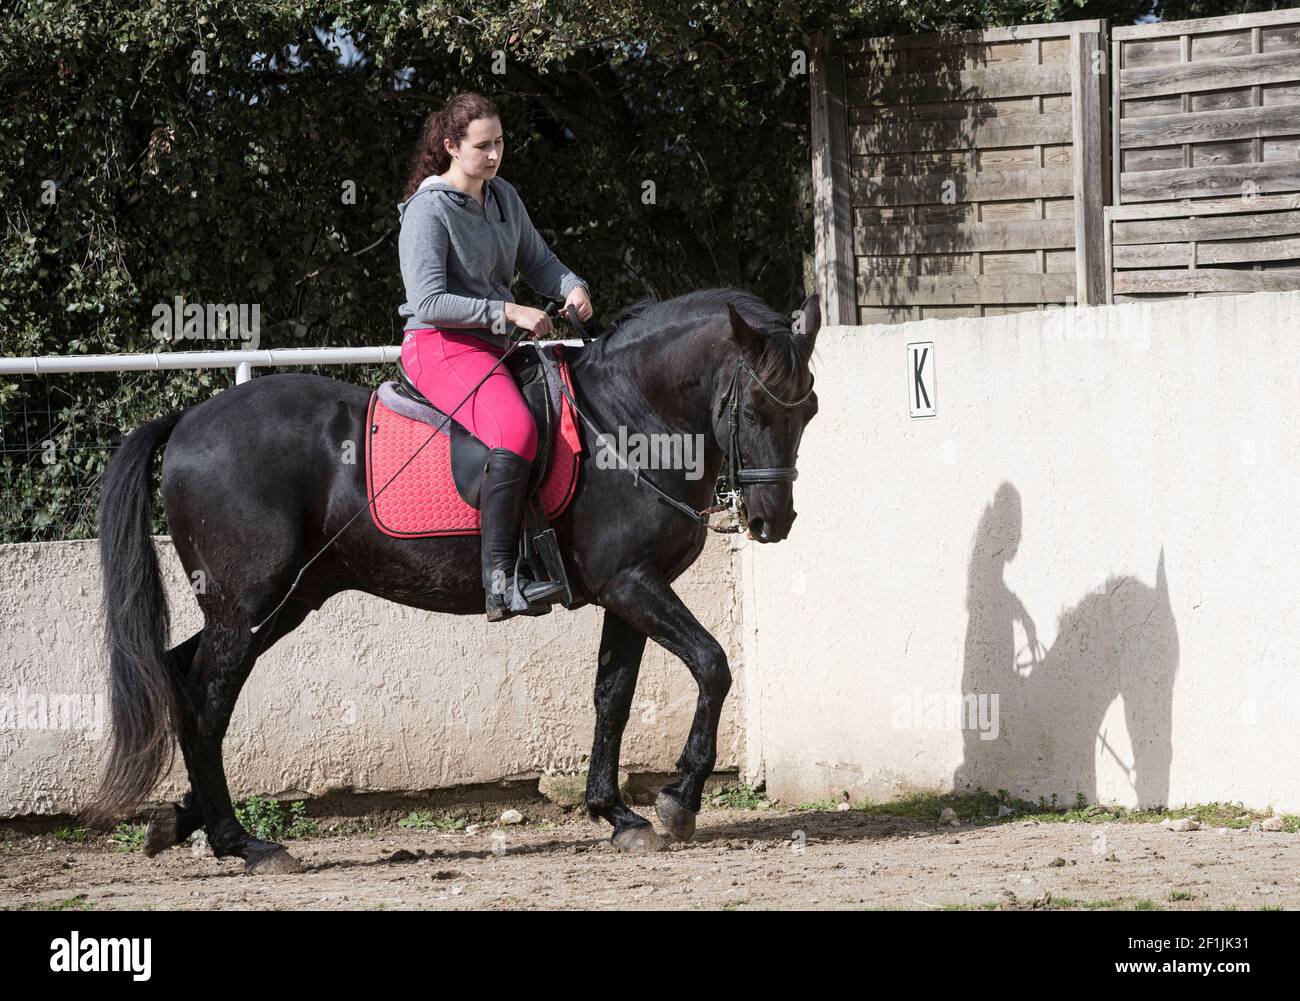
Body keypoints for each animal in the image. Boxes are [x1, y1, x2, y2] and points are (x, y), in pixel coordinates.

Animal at [85, 287, 820, 874]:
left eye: (808, 411)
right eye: (753, 411)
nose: (772, 520)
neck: (627, 418)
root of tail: (188, 421)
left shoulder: (628, 591)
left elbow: (612, 696)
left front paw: (615, 813)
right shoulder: (634, 584)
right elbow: (713, 664)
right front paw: (679, 800)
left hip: (276, 606)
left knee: (181, 679)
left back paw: (185, 818)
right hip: (247, 609)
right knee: (207, 706)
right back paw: (243, 842)